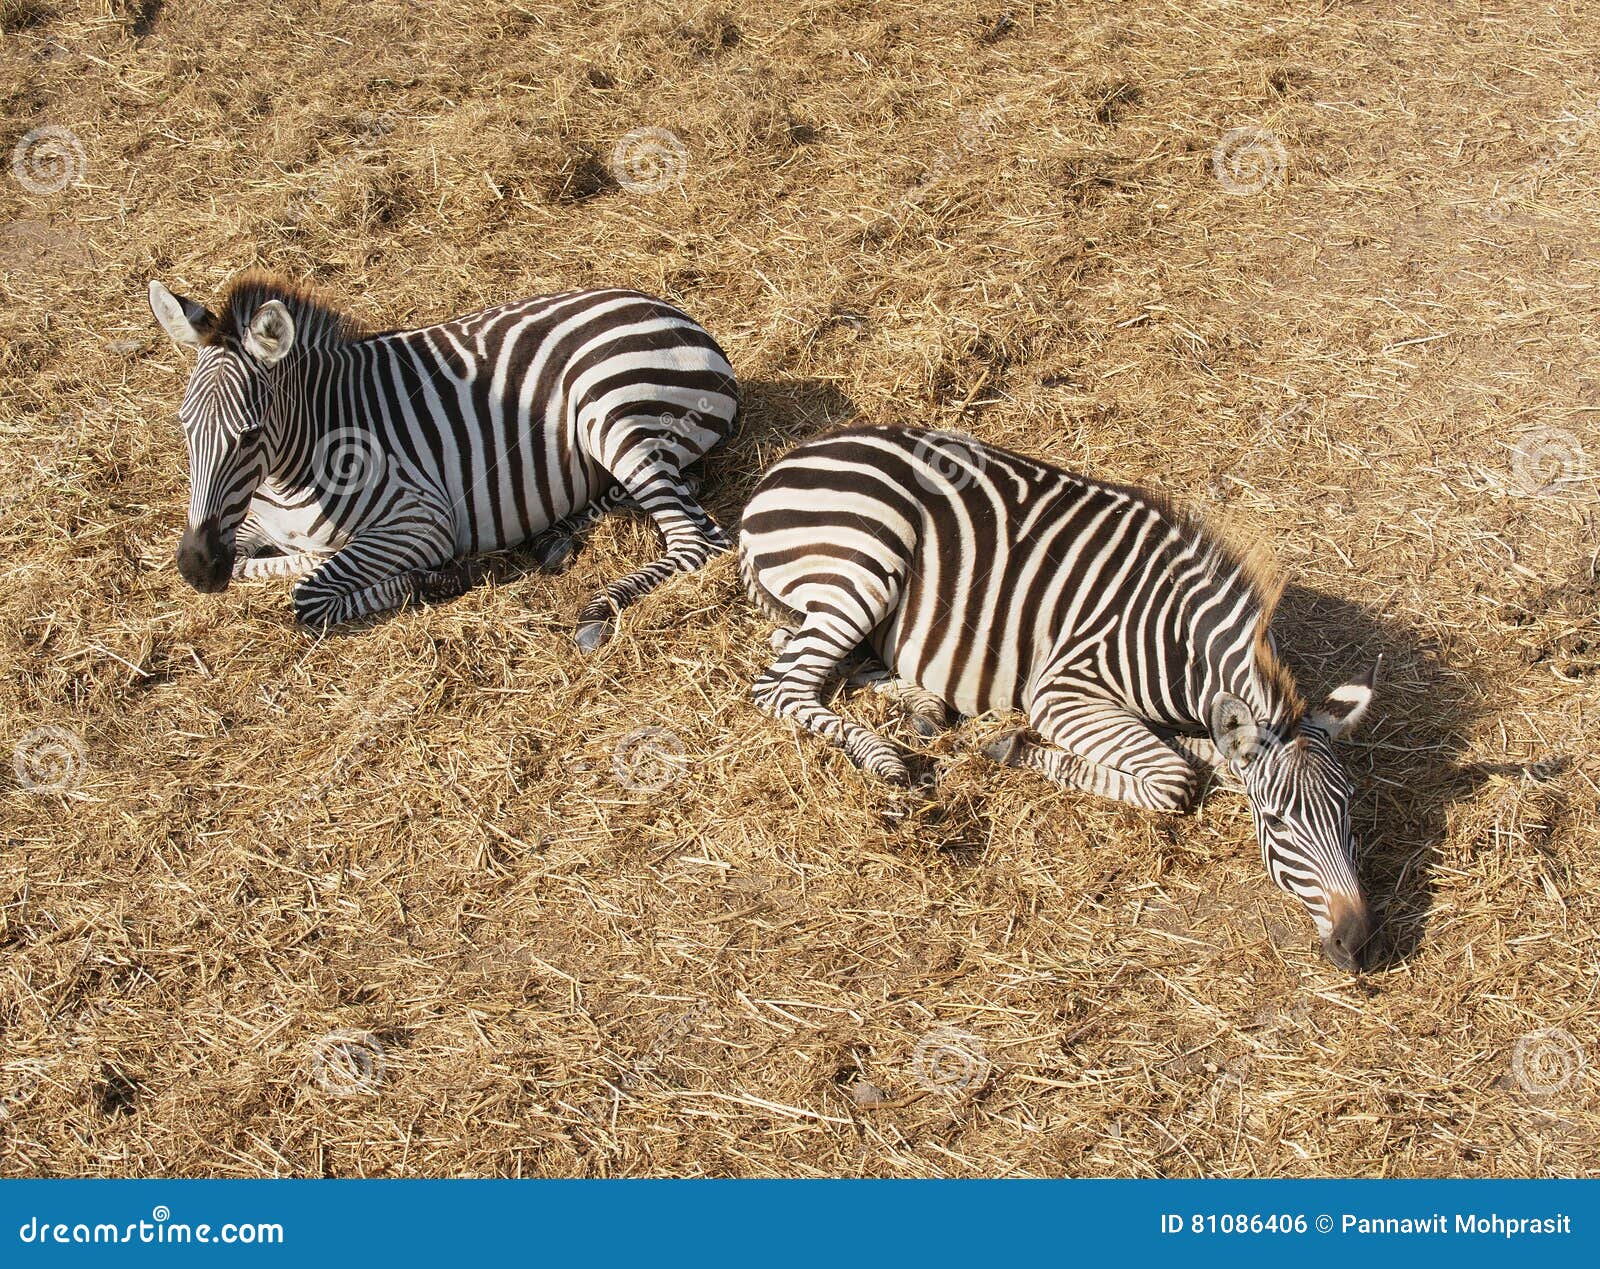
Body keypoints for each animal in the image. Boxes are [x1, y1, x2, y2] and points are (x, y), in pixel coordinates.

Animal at [147, 272, 738, 646]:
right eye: (182, 425)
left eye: (249, 435)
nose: (196, 569)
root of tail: (682, 318)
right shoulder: (246, 528)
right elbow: (263, 564)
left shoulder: (421, 519)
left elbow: (309, 597)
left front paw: (437, 579)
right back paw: (556, 539)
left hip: (610, 408)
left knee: (698, 541)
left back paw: (597, 608)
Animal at [738, 425, 1381, 971]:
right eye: (1276, 822)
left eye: (1350, 808)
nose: (1357, 946)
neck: (1175, 644)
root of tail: (783, 465)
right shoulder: (1062, 690)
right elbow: (1175, 780)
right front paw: (1016, 748)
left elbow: (1201, 756)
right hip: (866, 562)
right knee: (783, 687)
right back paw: (885, 756)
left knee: (814, 658)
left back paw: (924, 707)